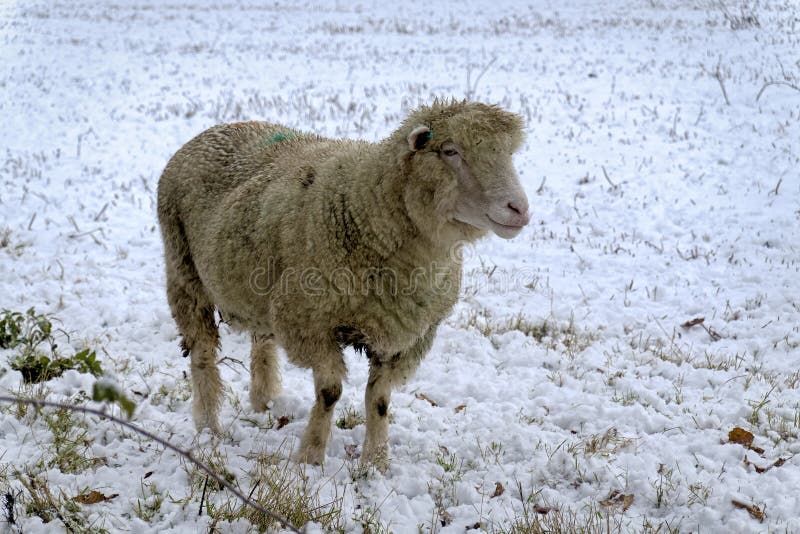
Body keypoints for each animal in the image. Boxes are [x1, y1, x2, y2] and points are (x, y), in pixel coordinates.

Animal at [156, 99, 530, 466]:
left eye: (509, 153)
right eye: (450, 151)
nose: (519, 209)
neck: (366, 205)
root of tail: (215, 130)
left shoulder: (408, 337)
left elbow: (378, 399)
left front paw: (375, 463)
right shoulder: (309, 324)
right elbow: (330, 393)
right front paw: (310, 457)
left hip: (257, 284)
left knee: (261, 340)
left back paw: (264, 402)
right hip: (183, 271)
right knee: (202, 354)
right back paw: (209, 428)